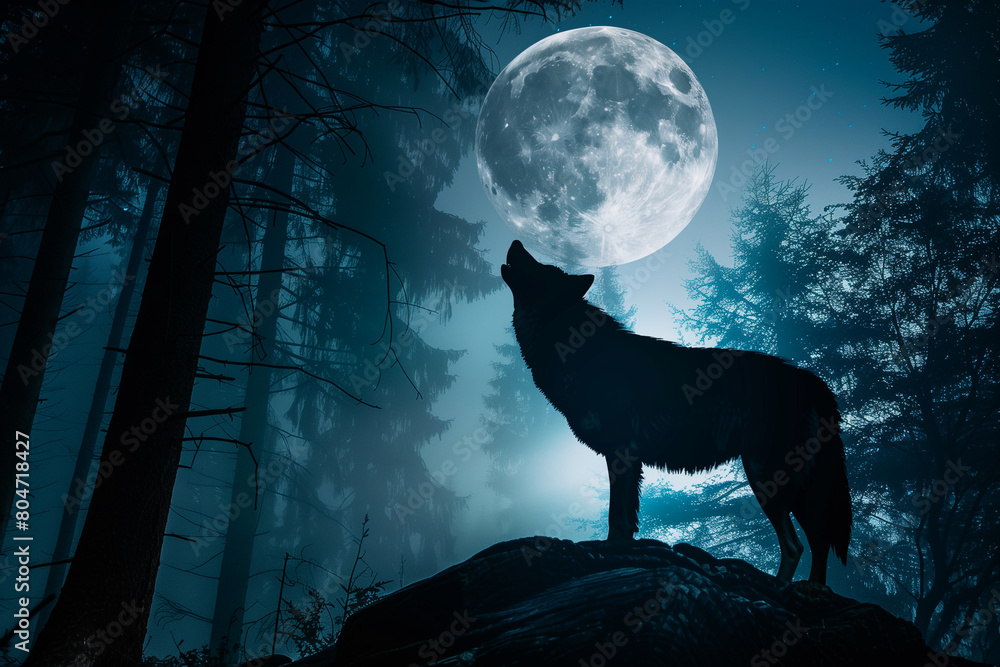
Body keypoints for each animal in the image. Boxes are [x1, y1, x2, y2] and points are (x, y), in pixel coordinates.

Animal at [501, 240, 851, 584]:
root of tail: (813, 381)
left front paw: (611, 552)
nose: (515, 241)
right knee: (811, 544)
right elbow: (626, 520)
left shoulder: (622, 453)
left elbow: (617, 518)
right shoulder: (628, 458)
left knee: (800, 544)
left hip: (768, 479)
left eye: (541, 269)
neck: (576, 347)